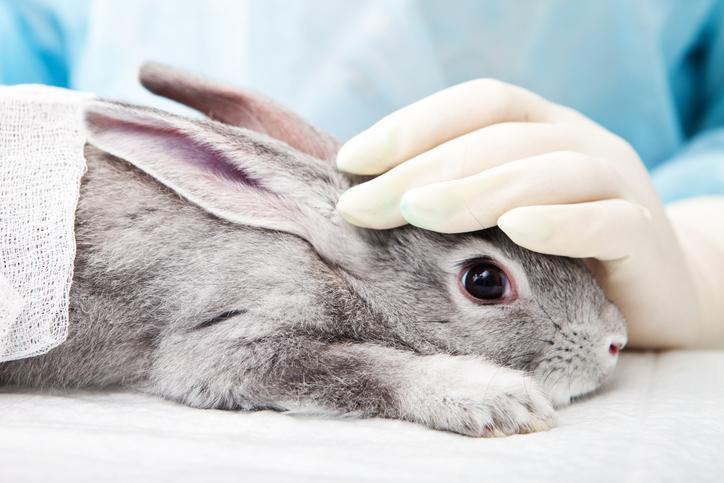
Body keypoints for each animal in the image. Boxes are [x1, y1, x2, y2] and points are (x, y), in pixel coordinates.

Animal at [0, 63, 627, 437]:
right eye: (485, 281)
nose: (616, 341)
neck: (331, 267)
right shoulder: (229, 340)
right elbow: (364, 367)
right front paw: (499, 400)